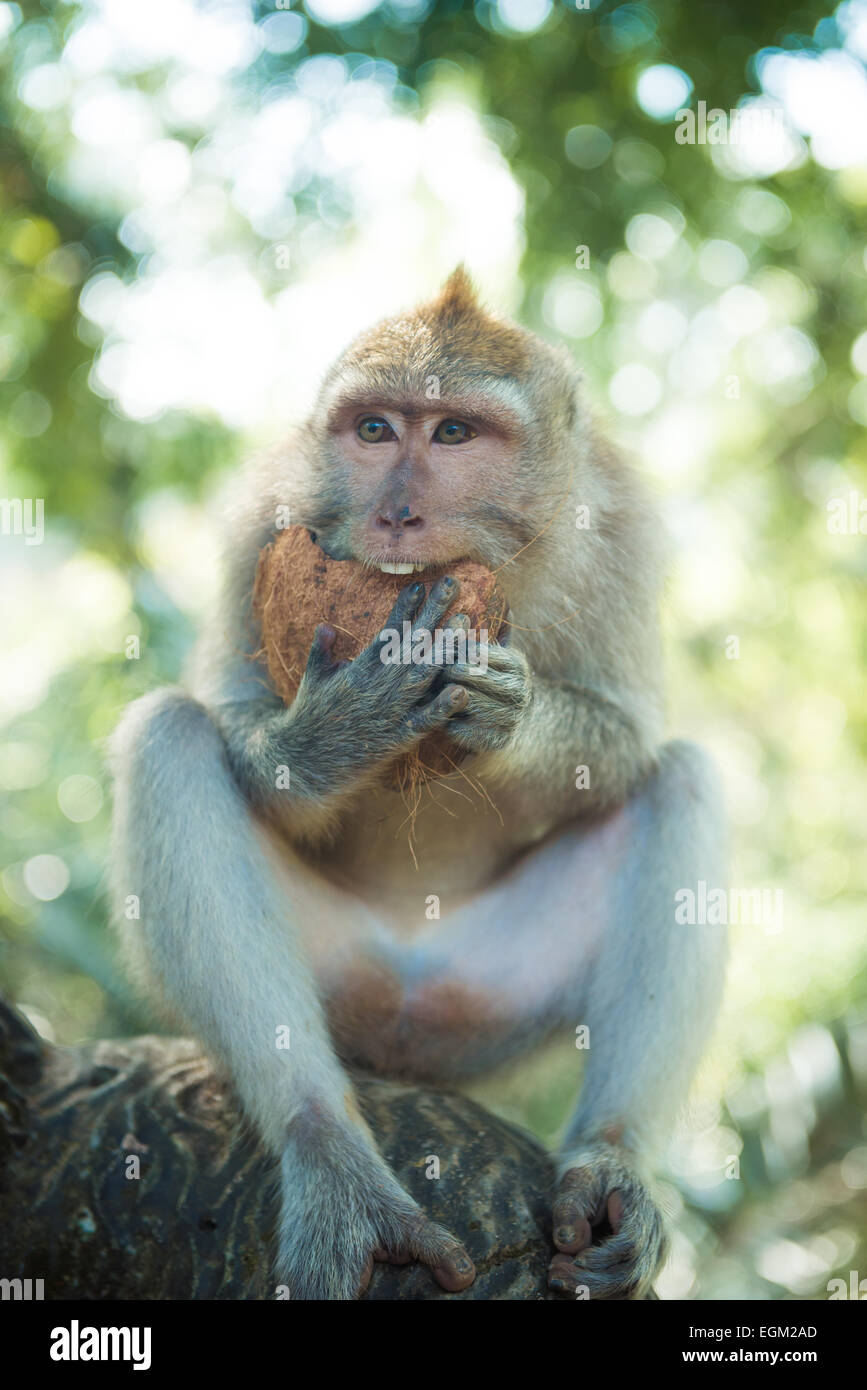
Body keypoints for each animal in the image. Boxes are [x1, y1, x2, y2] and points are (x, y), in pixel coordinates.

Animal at [109, 268, 727, 1300]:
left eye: (453, 433)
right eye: (374, 429)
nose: (396, 513)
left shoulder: (624, 531)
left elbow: (625, 735)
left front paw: (506, 711)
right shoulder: (260, 518)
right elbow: (230, 713)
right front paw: (335, 733)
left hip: (491, 1001)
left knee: (683, 780)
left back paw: (609, 1167)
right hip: (344, 981)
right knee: (169, 739)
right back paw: (331, 1157)